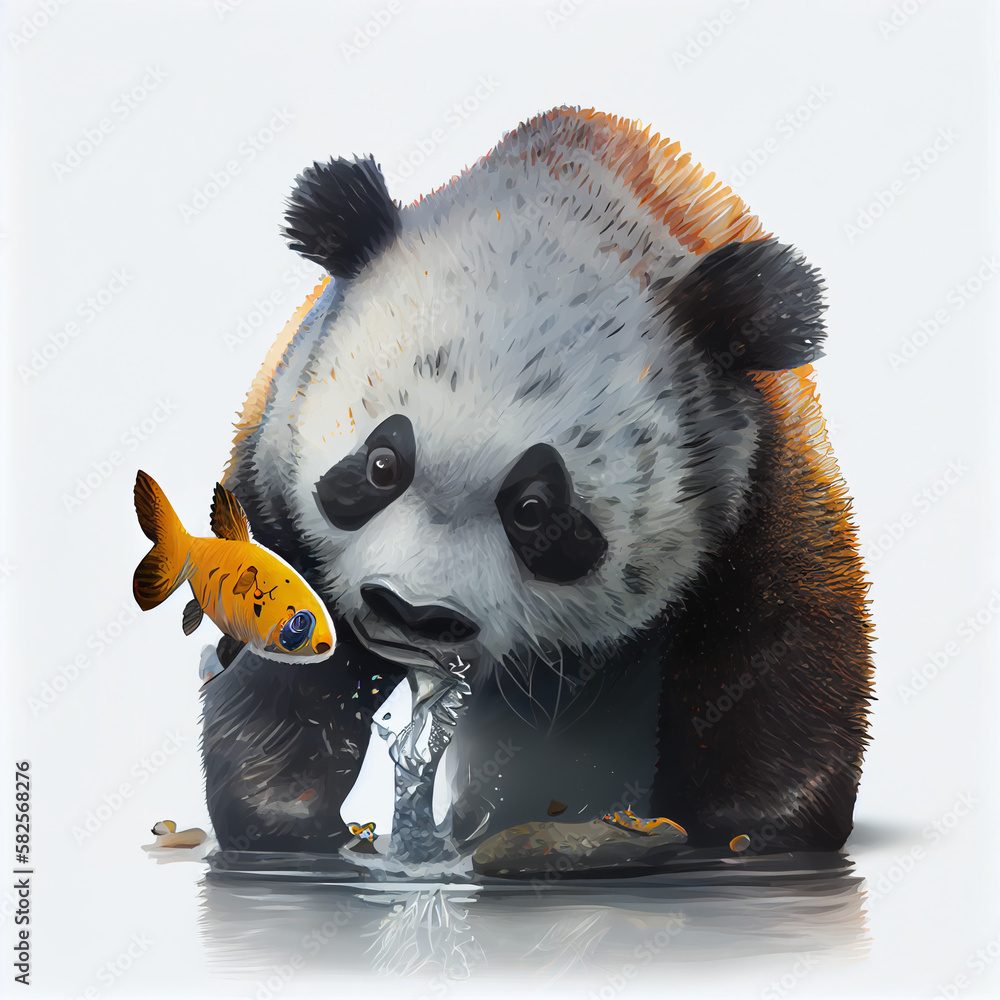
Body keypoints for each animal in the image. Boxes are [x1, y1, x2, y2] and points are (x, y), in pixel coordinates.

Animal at [201, 106, 873, 869]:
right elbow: (276, 664)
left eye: (532, 509)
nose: (414, 613)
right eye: (382, 465)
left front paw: (748, 836)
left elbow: (778, 656)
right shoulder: (275, 468)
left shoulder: (757, 482)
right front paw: (285, 825)